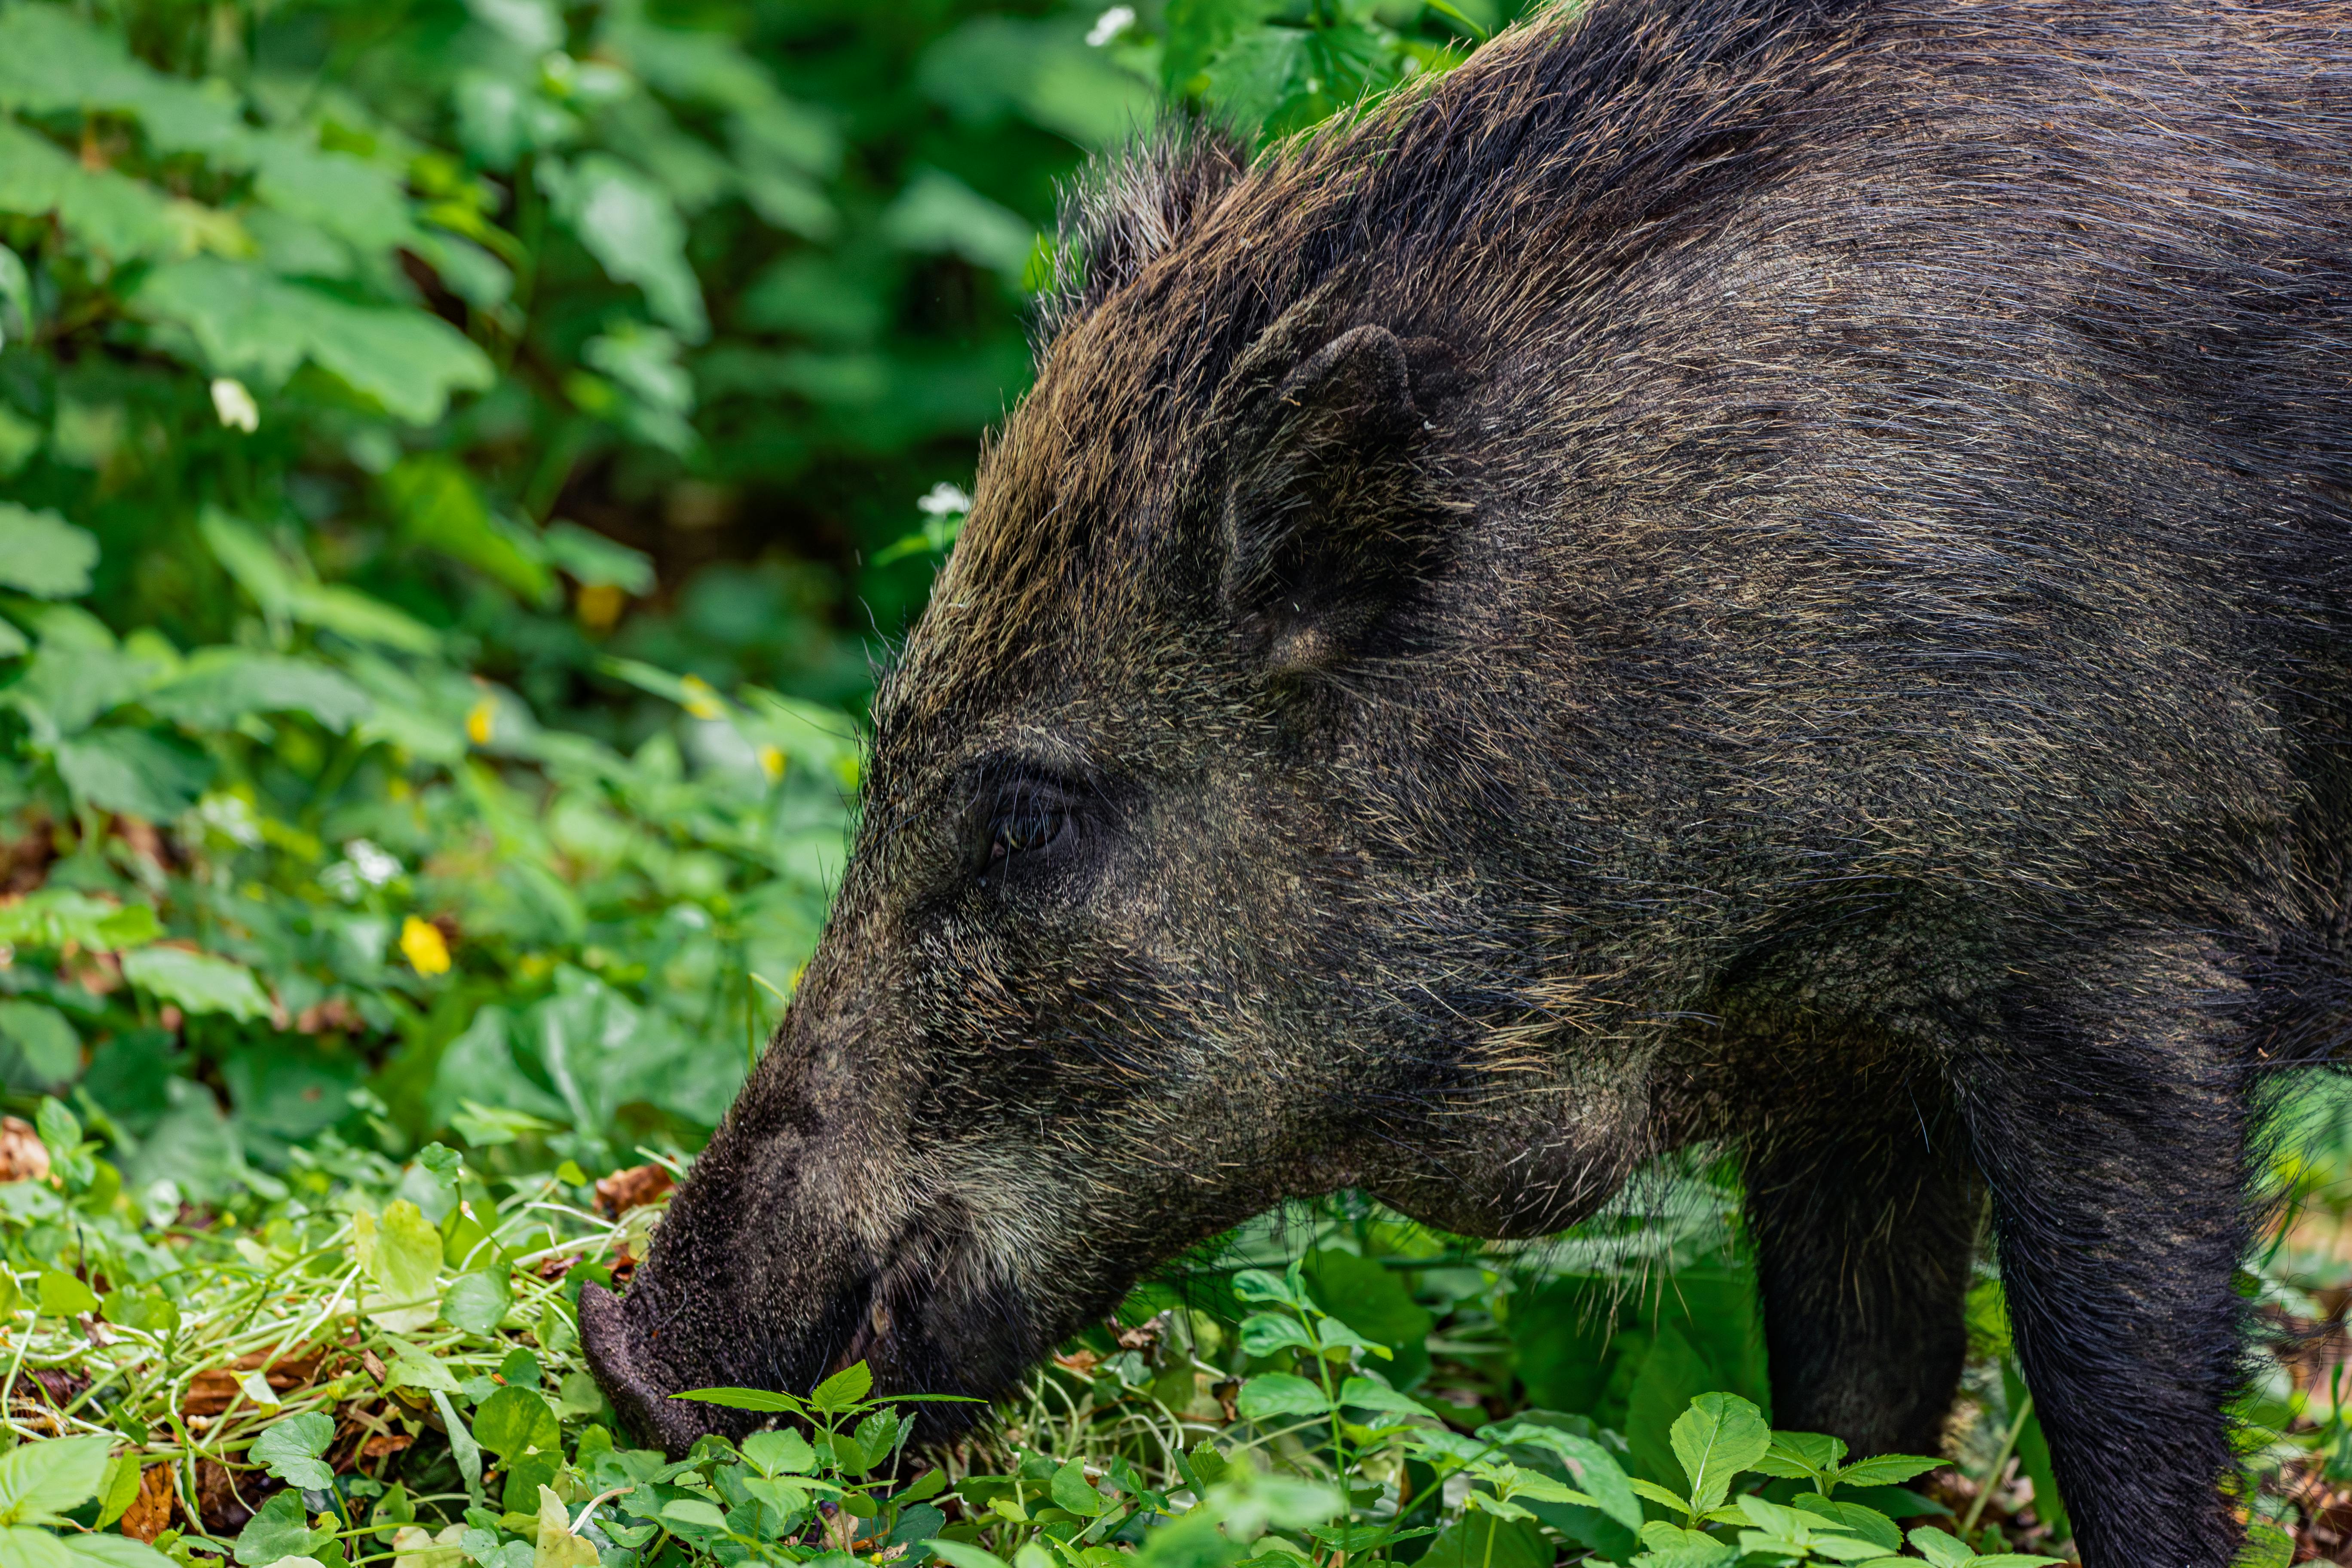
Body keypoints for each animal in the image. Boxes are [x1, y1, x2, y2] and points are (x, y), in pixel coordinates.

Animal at [582, 1, 2352, 1563]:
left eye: (1026, 814)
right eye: (880, 747)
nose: (626, 1365)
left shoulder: (2115, 947)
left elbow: (2121, 1415)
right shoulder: (1849, 1063)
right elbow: (1844, 1427)